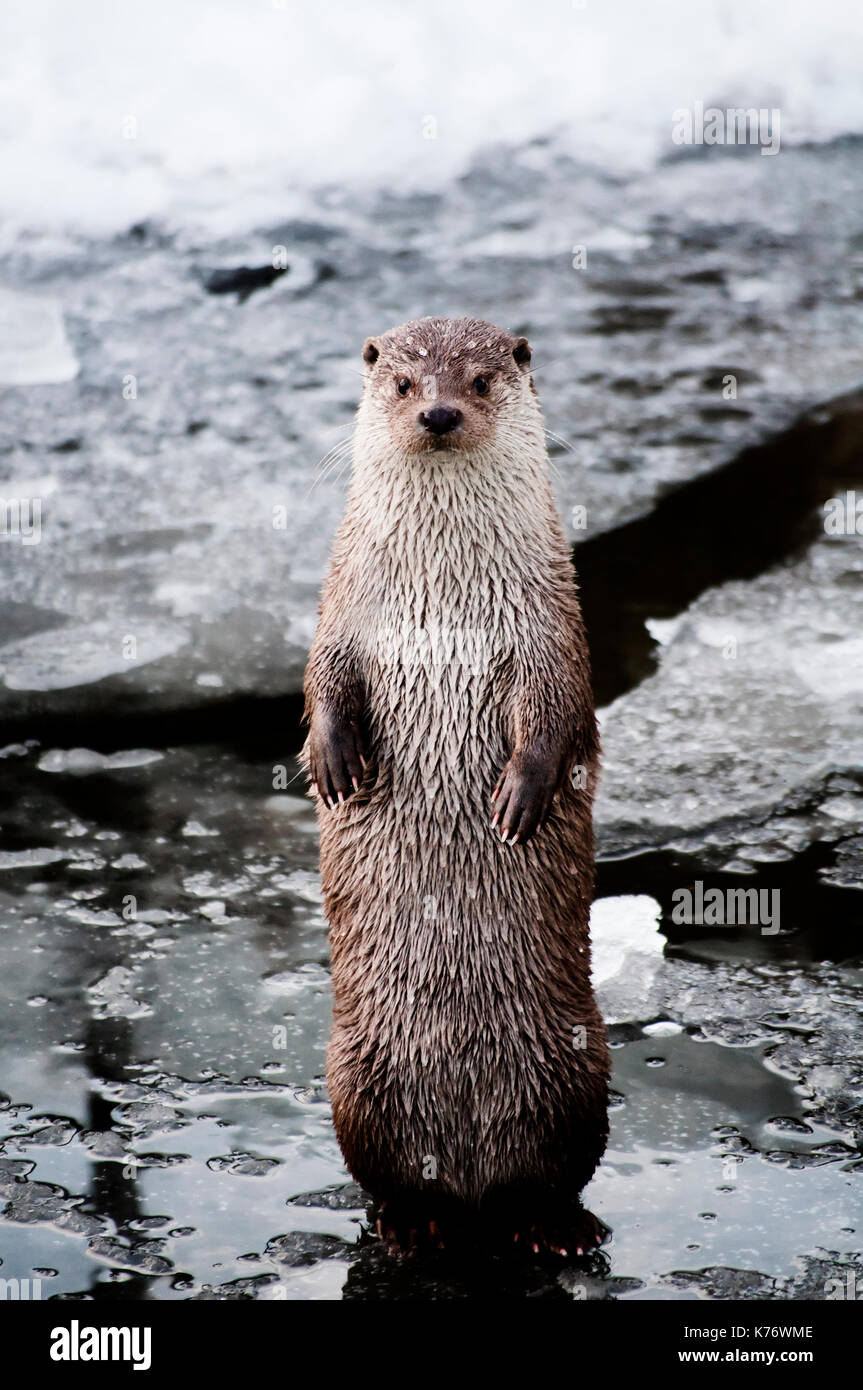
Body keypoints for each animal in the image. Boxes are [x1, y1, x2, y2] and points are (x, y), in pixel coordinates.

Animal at [303, 316, 609, 1255]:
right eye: (404, 383)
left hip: (582, 1067)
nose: (438, 413)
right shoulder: (341, 603)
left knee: (557, 1171)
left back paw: (549, 1225)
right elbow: (321, 677)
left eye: (477, 380)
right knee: (389, 1176)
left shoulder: (549, 625)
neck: (442, 607)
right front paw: (334, 760)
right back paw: (414, 1222)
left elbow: (554, 710)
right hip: (350, 1080)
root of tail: (472, 1175)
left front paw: (521, 794)